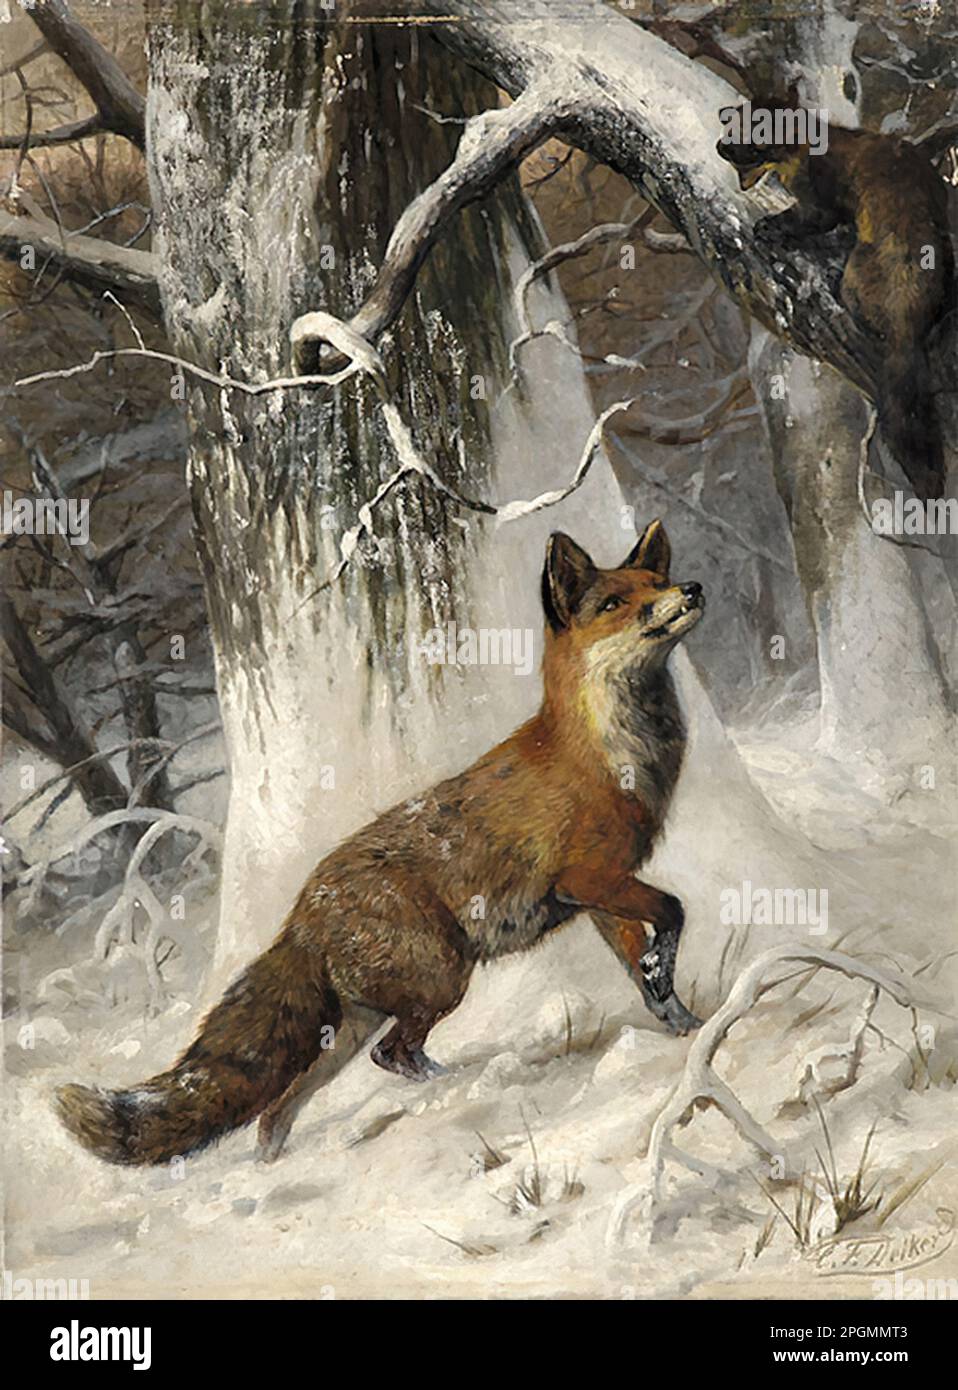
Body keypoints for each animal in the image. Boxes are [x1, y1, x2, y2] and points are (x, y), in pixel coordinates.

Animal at [55, 520, 705, 1166]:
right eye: (615, 604)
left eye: (658, 582)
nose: (692, 589)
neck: (611, 758)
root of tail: (303, 911)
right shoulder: (589, 879)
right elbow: (675, 910)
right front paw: (676, 1000)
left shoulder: (601, 895)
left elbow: (647, 972)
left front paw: (687, 1026)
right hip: (440, 979)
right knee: (392, 1056)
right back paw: (457, 1086)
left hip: (356, 1021)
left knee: (280, 1104)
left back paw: (271, 1162)